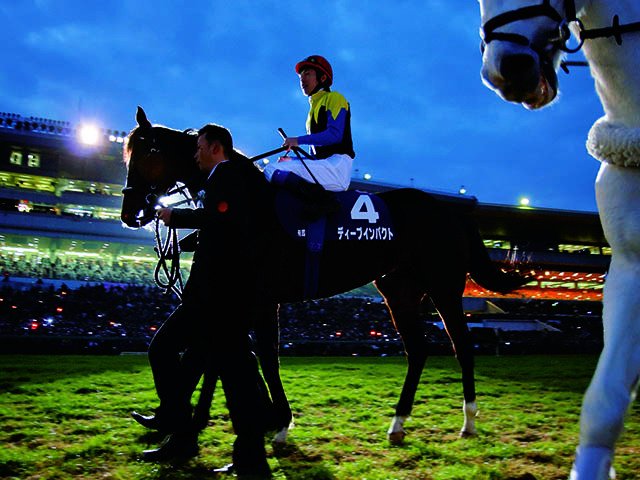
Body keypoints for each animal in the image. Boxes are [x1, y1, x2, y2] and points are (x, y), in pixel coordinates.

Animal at [121, 106, 526, 446]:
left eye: (146, 153)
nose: (129, 212)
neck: (250, 208)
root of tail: (453, 212)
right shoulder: (238, 300)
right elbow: (227, 356)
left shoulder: (261, 299)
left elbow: (264, 357)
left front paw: (280, 424)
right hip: (400, 291)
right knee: (418, 349)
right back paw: (398, 423)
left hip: (443, 288)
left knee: (463, 347)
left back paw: (468, 421)